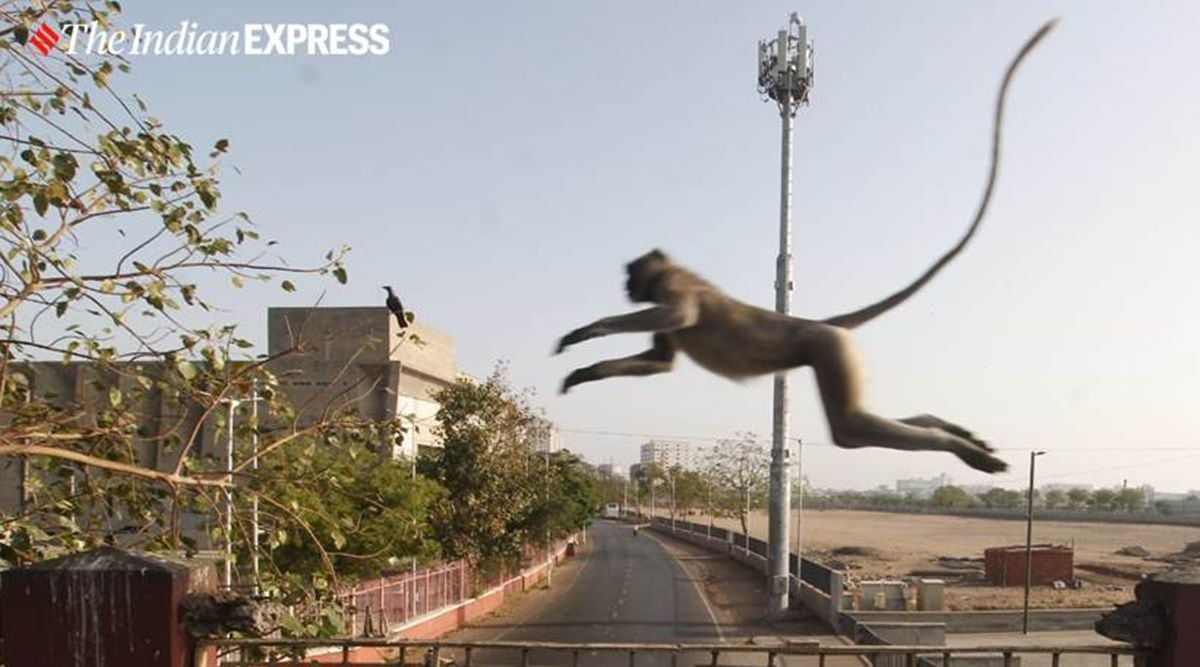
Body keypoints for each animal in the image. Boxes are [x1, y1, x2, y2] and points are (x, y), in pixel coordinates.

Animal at [553, 20, 1058, 475]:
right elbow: (660, 362)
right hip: (830, 350)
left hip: (828, 349)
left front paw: (587, 331)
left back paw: (957, 445)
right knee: (857, 425)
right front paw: (584, 373)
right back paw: (951, 430)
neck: (672, 273)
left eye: (630, 274)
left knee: (849, 428)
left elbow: (679, 316)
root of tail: (816, 323)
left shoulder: (677, 289)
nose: (625, 285)